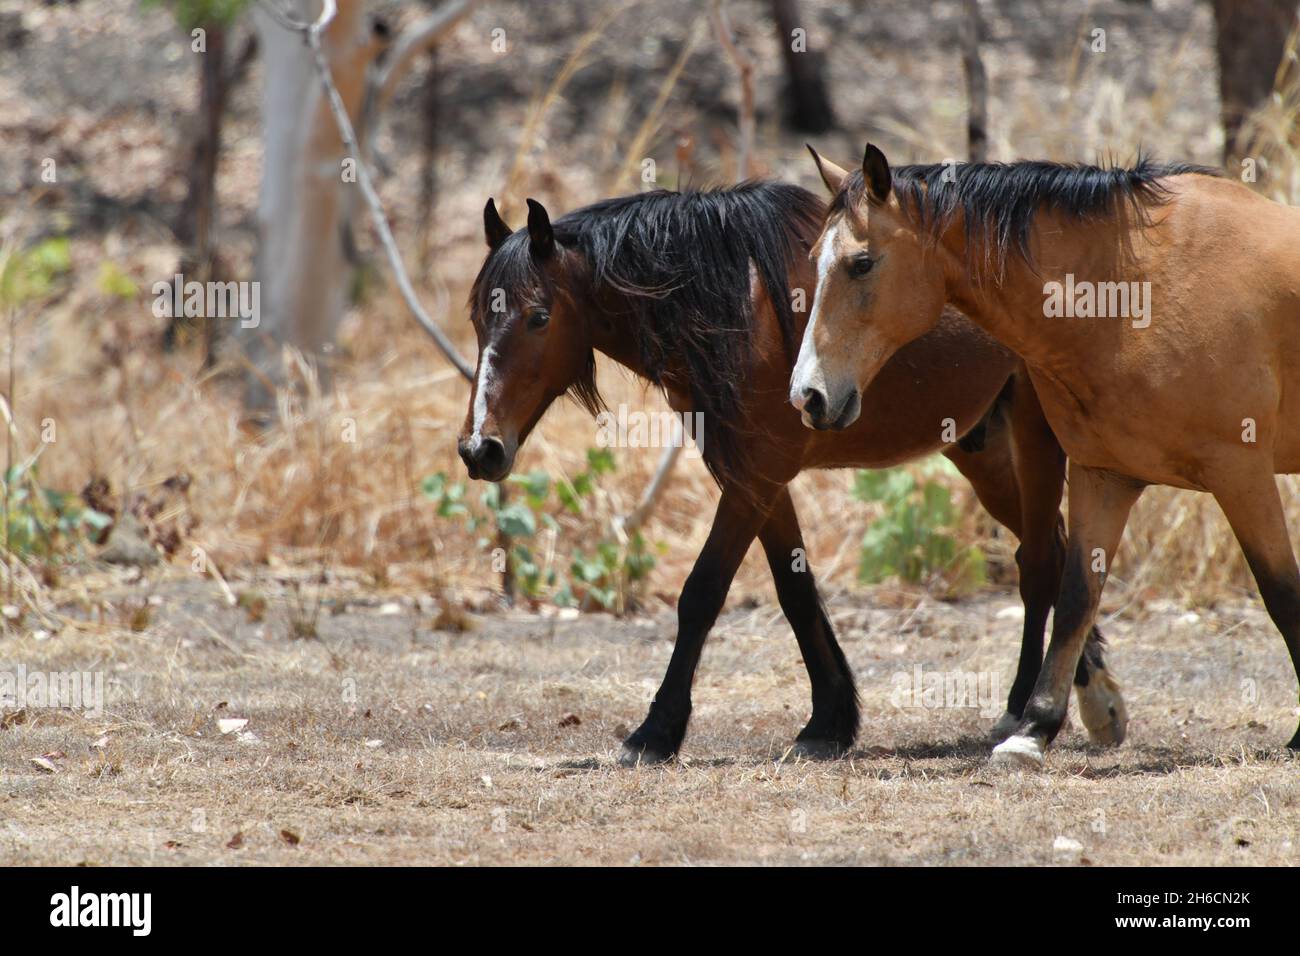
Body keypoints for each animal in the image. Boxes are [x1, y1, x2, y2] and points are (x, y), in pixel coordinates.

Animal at [456, 181, 1125, 765]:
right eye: (478, 320)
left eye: (539, 317)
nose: (479, 448)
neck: (736, 306)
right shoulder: (754, 475)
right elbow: (795, 590)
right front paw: (829, 720)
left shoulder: (757, 474)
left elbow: (701, 593)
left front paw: (655, 732)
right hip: (979, 453)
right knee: (1051, 550)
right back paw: (1095, 697)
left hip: (1035, 440)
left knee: (1040, 565)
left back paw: (1022, 710)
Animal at [790, 144, 1300, 766]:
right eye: (813, 258)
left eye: (860, 264)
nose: (808, 396)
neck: (1137, 290)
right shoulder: (1103, 477)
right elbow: (1076, 595)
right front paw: (1033, 729)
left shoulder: (1242, 473)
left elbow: (1282, 593)